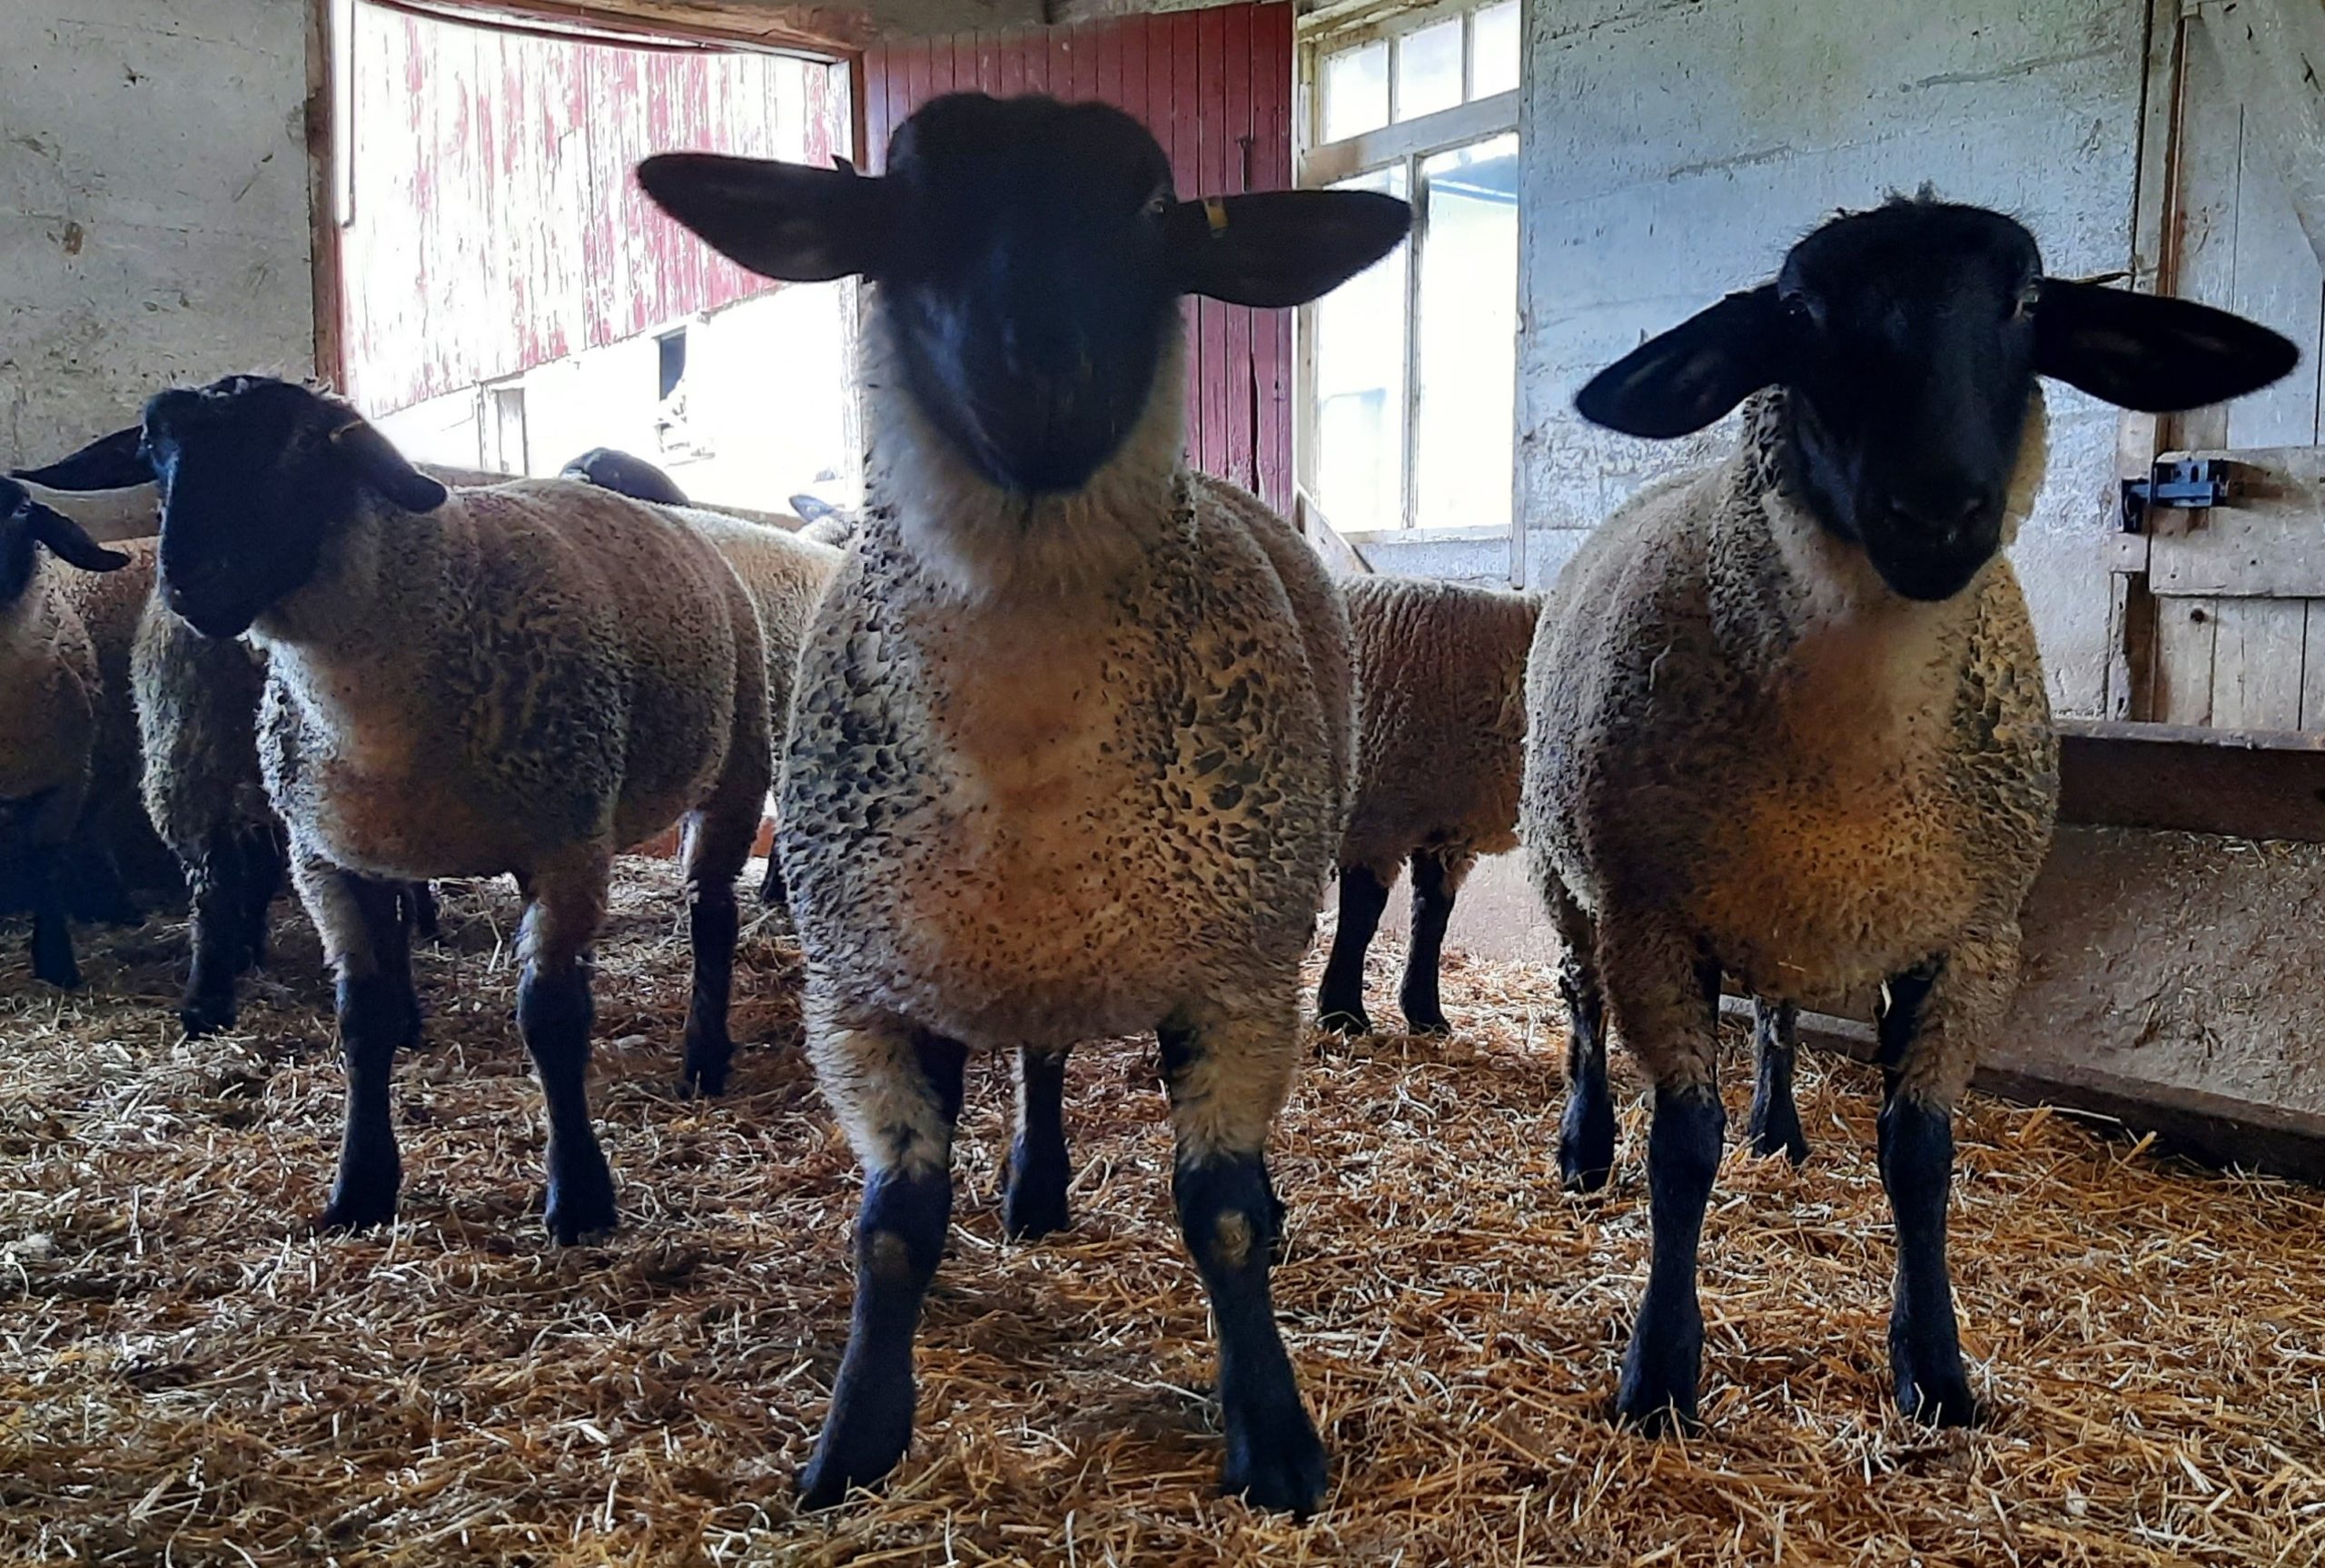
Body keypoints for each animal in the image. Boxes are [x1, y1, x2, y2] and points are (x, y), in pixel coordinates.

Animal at [141, 374, 775, 1241]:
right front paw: (360, 1187)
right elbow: (363, 1019)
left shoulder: (564, 844)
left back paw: (705, 1055)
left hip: (733, 764)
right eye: (156, 453)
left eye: (294, 443)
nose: (186, 580)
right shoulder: (329, 859)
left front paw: (579, 1197)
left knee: (711, 913)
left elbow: (550, 1019)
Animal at [640, 92, 1408, 1513]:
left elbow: (1221, 1216)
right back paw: (1035, 1182)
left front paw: (1272, 1433)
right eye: (904, 213)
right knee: (1040, 1055)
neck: (1029, 764)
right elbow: (891, 1231)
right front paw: (854, 1438)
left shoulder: (1233, 980)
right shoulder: (870, 993)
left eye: (1156, 218)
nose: (1042, 379)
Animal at [1316, 574, 1542, 1037]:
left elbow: (1433, 918)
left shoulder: (1446, 831)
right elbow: (1361, 917)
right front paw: (1342, 1014)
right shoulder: (1376, 816)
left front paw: (1425, 1014)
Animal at [1522, 196, 2297, 1434]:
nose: (1935, 509)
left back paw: (1779, 1128)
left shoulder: (1967, 938)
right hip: (1567, 871)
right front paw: (1659, 1371)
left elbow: (1919, 1156)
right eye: (1797, 313)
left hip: (1789, 911)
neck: (1859, 753)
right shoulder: (1654, 924)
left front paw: (1934, 1369)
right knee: (1581, 1004)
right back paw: (1585, 1145)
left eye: (2026, 301)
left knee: (1777, 1011)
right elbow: (1680, 1151)